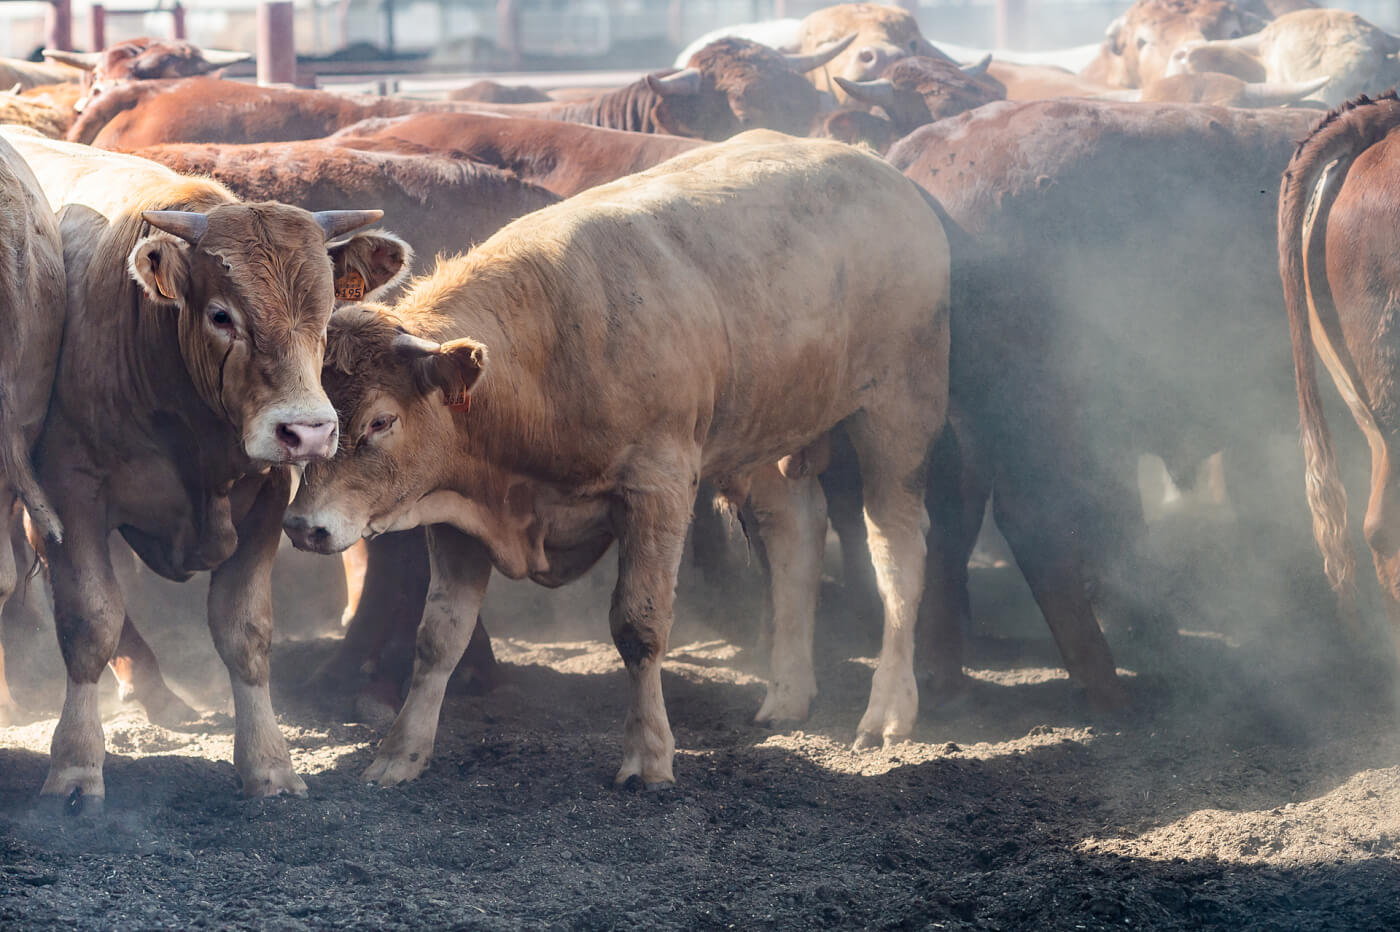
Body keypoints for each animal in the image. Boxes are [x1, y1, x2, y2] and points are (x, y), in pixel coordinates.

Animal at [0, 127, 395, 810]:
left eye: (325, 316)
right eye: (221, 315)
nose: (308, 431)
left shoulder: (267, 495)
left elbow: (245, 633)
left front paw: (268, 764)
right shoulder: (70, 494)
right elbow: (90, 620)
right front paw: (75, 766)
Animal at [283, 132, 951, 787]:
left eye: (381, 421)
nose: (302, 526)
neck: (546, 359)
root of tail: (873, 164)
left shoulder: (658, 490)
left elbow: (639, 626)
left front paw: (649, 756)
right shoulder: (459, 514)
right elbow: (438, 638)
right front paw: (400, 753)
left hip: (899, 410)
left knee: (897, 550)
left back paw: (888, 710)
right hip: (763, 428)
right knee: (795, 533)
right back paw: (787, 694)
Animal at [885, 100, 1320, 703]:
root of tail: (929, 148)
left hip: (966, 425)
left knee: (951, 525)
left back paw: (944, 675)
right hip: (1041, 412)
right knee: (1036, 523)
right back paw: (1105, 678)